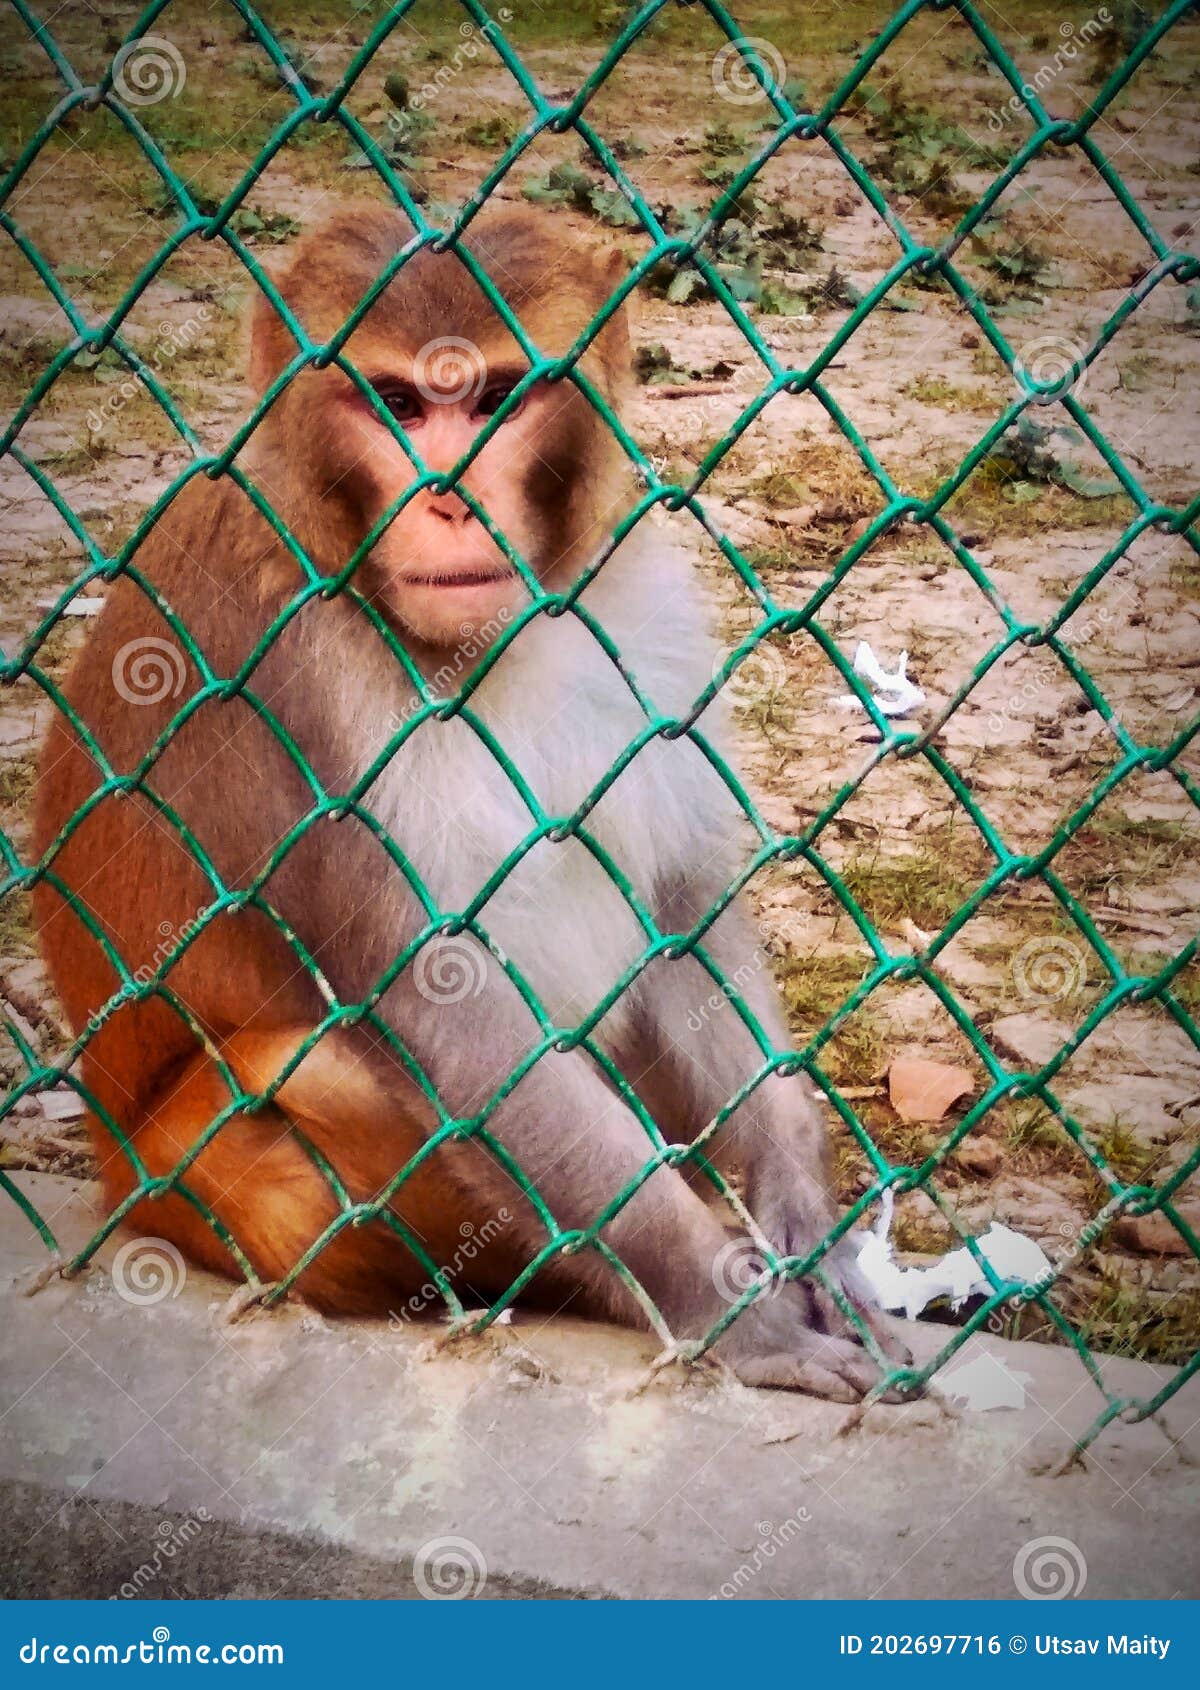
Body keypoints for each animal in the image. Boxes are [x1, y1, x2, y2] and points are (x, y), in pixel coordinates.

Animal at [33, 202, 906, 1401]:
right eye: (399, 403)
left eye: (494, 397)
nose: (444, 498)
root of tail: (119, 1185)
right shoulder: (272, 666)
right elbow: (452, 1010)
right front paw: (740, 1313)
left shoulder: (630, 588)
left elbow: (679, 909)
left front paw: (805, 1226)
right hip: (199, 1188)